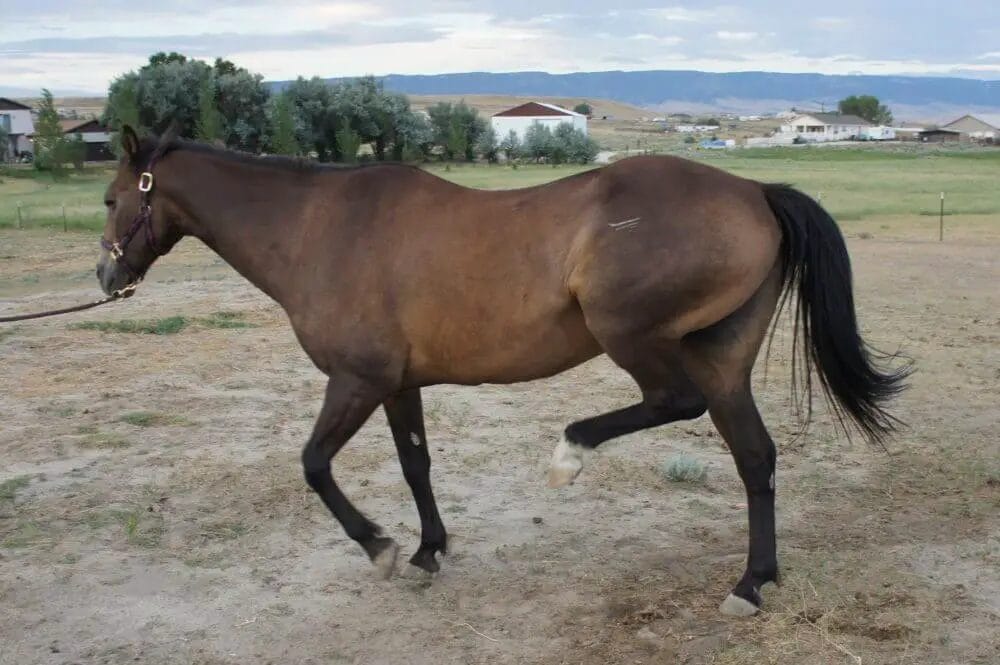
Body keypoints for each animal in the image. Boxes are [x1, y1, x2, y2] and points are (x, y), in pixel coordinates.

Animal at [96, 126, 907, 616]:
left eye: (111, 198)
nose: (106, 278)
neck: (320, 228)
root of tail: (754, 192)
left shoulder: (357, 380)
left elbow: (315, 464)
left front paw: (381, 547)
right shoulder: (399, 385)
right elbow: (416, 465)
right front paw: (428, 550)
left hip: (637, 337)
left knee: (672, 402)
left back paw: (570, 454)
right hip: (723, 359)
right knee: (755, 458)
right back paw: (751, 582)